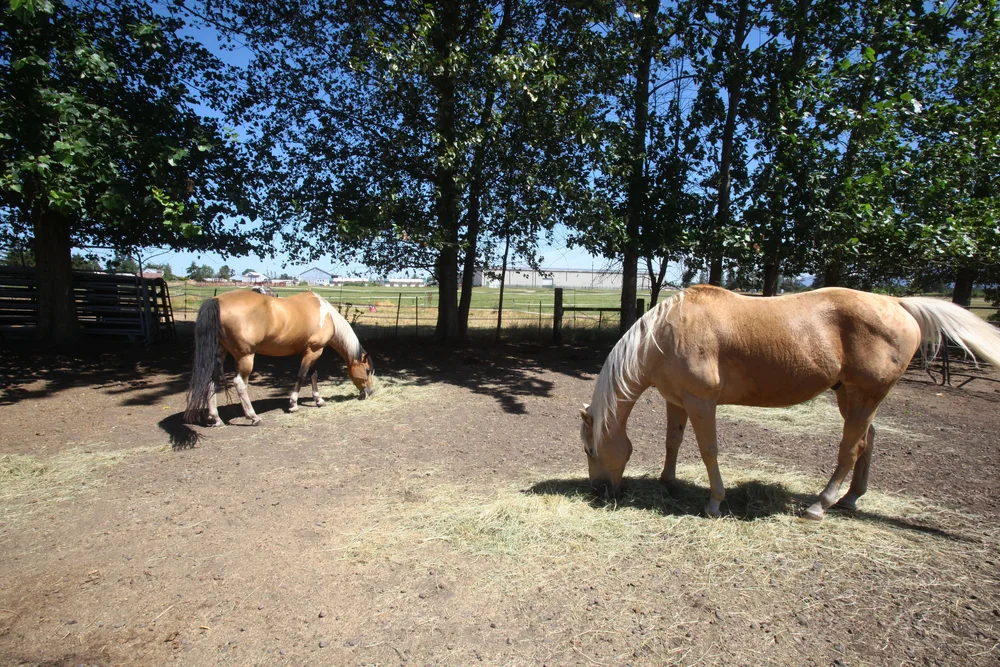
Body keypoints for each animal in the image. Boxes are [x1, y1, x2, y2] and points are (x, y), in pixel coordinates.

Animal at [184, 289, 375, 426]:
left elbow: (313, 375)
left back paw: (215, 419)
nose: (370, 392)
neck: (326, 315)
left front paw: (319, 400)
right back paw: (253, 417)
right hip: (246, 357)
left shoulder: (314, 351)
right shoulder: (313, 351)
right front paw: (293, 404)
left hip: (219, 353)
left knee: (211, 381)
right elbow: (302, 375)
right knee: (239, 383)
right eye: (367, 370)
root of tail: (216, 300)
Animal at [579, 285, 1000, 521]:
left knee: (850, 448)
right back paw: (851, 499)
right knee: (868, 441)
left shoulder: (702, 403)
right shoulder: (677, 401)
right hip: (851, 394)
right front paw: (668, 483)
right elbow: (673, 442)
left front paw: (715, 502)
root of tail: (897, 303)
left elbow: (709, 450)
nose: (599, 491)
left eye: (589, 449)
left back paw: (821, 505)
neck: (666, 334)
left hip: (866, 394)